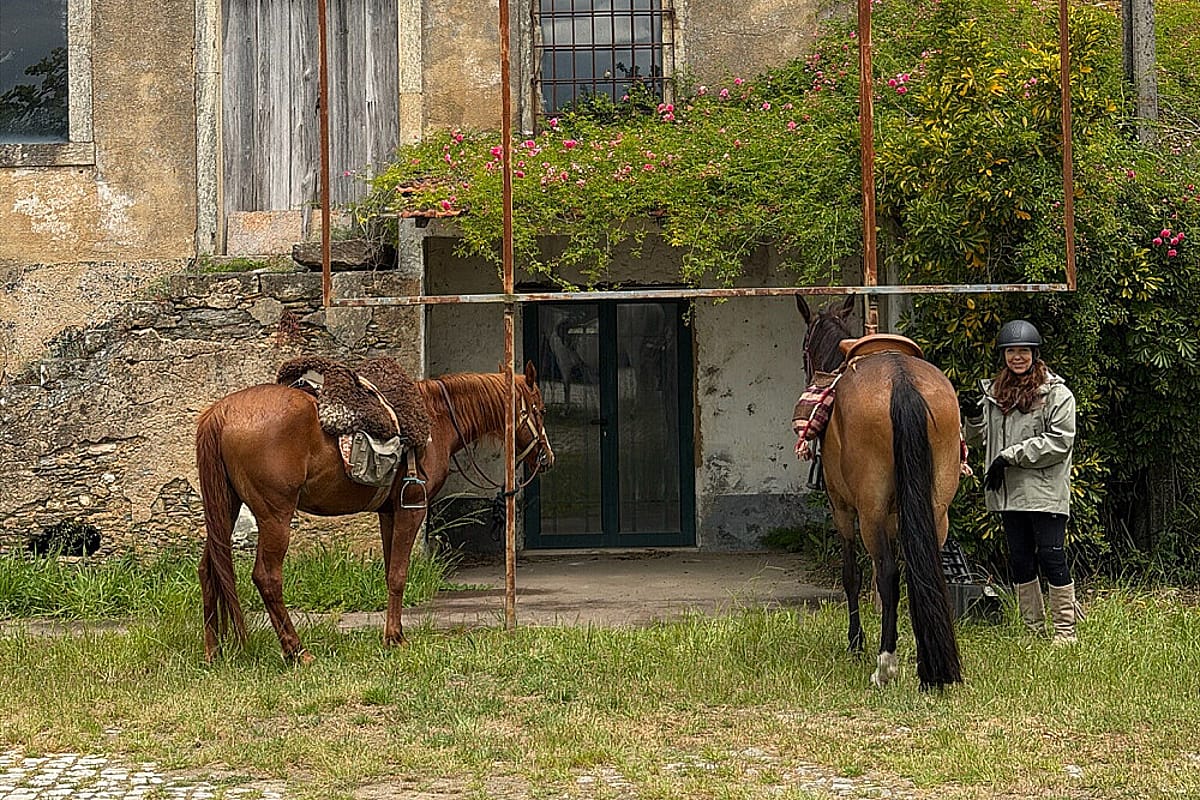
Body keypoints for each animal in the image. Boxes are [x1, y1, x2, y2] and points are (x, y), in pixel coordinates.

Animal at [195, 361, 554, 663]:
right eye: (540, 409)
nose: (547, 457)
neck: (435, 420)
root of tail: (222, 413)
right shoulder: (412, 509)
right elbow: (398, 574)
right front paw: (395, 638)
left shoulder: (389, 512)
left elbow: (389, 571)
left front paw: (393, 634)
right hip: (275, 516)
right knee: (266, 578)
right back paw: (296, 651)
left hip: (225, 509)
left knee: (209, 569)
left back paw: (214, 651)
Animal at [796, 296, 962, 690]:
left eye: (804, 347)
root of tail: (901, 380)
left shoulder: (843, 508)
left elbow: (852, 574)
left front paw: (856, 641)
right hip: (937, 508)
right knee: (924, 570)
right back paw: (928, 662)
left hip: (868, 511)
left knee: (887, 573)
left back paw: (885, 665)